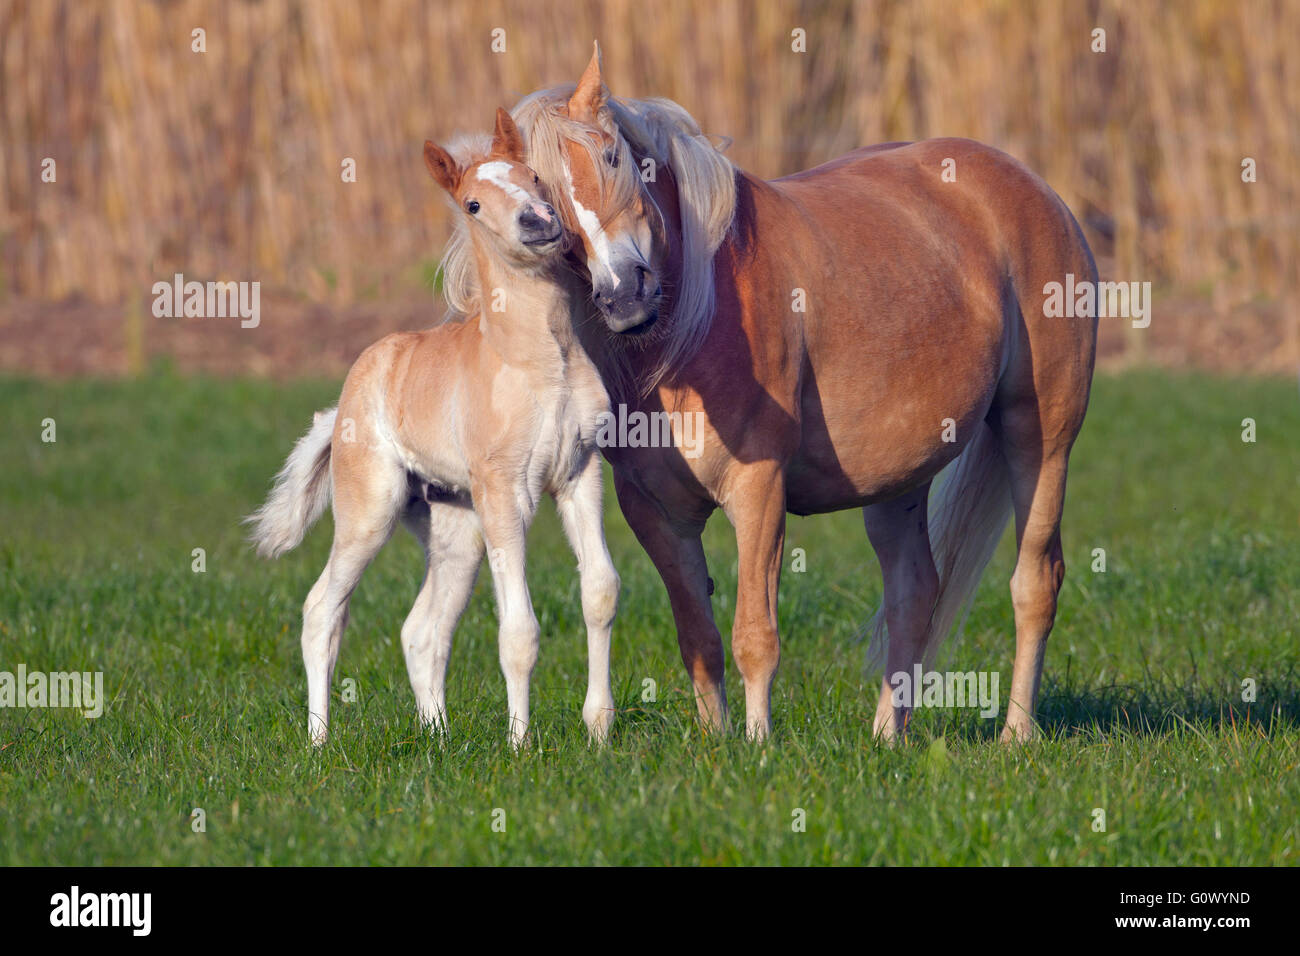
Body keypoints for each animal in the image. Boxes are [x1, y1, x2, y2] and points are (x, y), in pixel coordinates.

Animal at [247, 108, 619, 747]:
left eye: (534, 177)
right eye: (472, 203)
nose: (538, 222)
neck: (540, 358)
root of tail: (342, 405)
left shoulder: (578, 475)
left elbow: (598, 590)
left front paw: (598, 729)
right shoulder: (503, 493)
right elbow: (518, 631)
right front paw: (520, 746)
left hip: (454, 530)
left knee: (422, 629)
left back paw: (438, 737)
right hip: (371, 511)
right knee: (322, 609)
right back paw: (319, 740)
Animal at [509, 45, 1098, 743]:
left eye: (612, 157)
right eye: (541, 201)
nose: (626, 293)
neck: (693, 322)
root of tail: (1036, 190)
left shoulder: (759, 489)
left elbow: (753, 637)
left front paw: (758, 746)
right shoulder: (656, 513)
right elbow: (699, 639)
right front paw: (718, 743)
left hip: (1042, 438)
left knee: (1035, 582)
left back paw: (1015, 735)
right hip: (898, 476)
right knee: (913, 592)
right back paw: (886, 738)